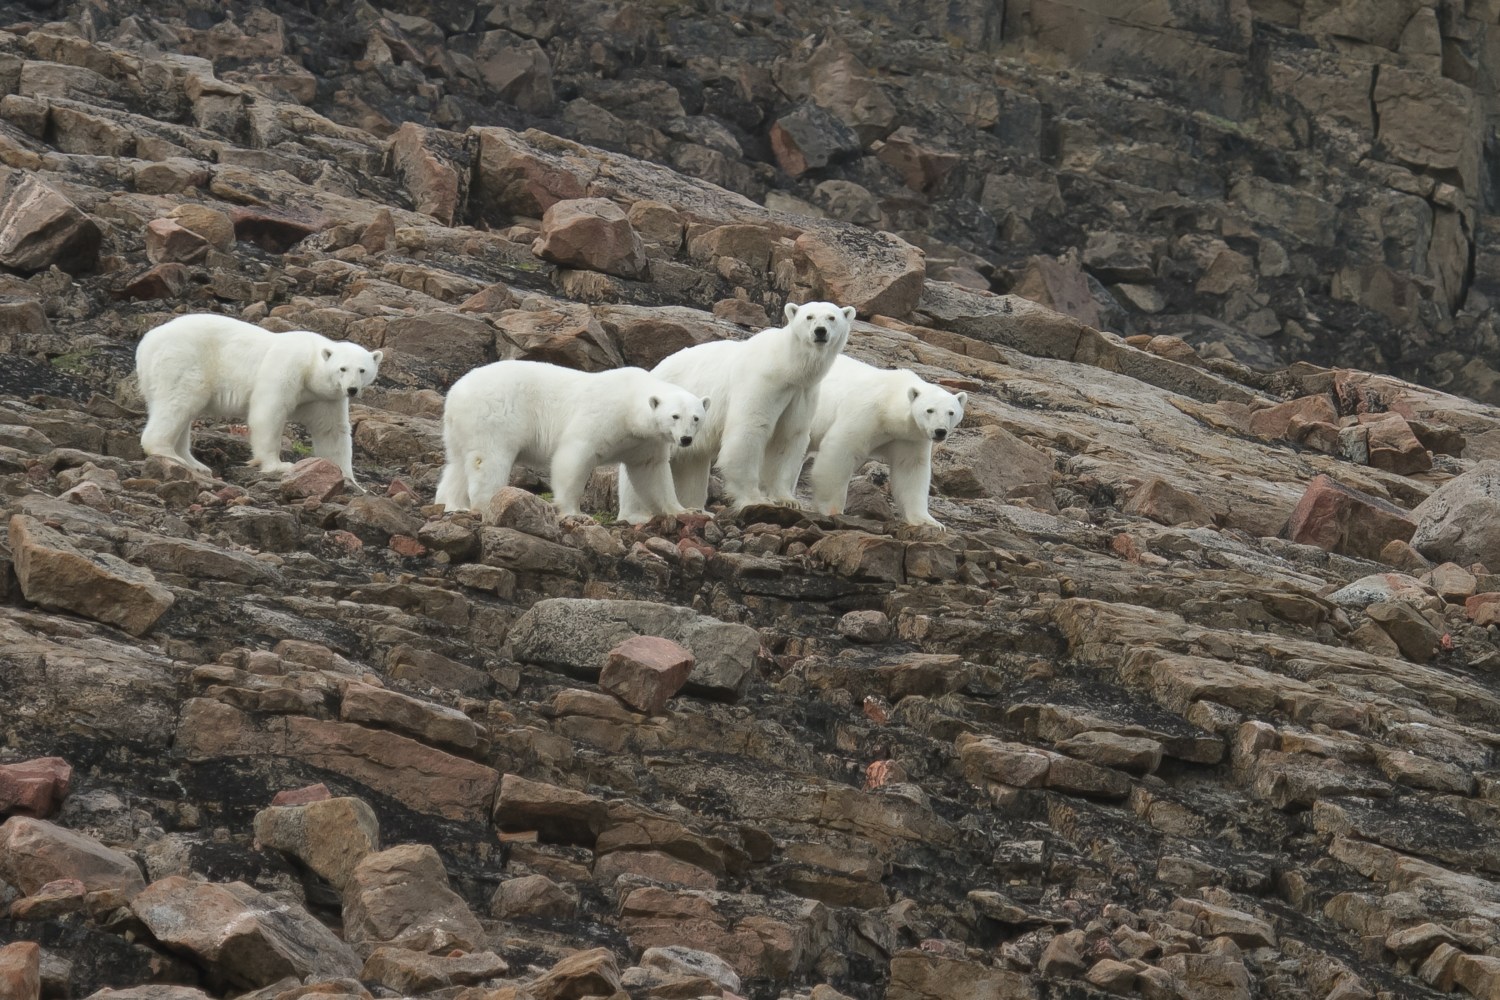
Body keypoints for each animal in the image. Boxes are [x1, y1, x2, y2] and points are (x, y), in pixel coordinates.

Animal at [136, 313, 383, 480]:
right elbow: (268, 413)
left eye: (362, 370)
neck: (311, 367)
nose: (352, 389)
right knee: (180, 402)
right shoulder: (287, 368)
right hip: (183, 359)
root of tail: (147, 341)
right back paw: (169, 454)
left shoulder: (325, 398)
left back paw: (194, 463)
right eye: (343, 368)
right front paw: (279, 466)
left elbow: (331, 431)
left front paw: (350, 480)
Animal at [433, 359, 710, 521]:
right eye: (675, 415)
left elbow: (652, 472)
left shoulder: (644, 441)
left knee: (457, 464)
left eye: (696, 417)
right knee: (489, 459)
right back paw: (487, 503)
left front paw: (685, 510)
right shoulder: (602, 416)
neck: (630, 403)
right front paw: (575, 513)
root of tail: (456, 391)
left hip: (459, 428)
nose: (686, 439)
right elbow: (574, 455)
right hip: (493, 415)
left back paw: (453, 505)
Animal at [616, 300, 854, 522]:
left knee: (691, 463)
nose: (820, 331)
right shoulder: (762, 381)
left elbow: (788, 436)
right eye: (809, 316)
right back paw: (637, 514)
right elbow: (749, 429)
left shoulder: (802, 393)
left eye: (832, 317)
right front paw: (755, 499)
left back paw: (698, 508)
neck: (787, 366)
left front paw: (787, 500)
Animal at [798, 354, 967, 528]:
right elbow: (840, 451)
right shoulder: (865, 413)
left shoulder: (909, 437)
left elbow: (910, 468)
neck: (888, 405)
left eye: (951, 412)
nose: (940, 431)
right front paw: (833, 510)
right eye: (930, 410)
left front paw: (929, 522)